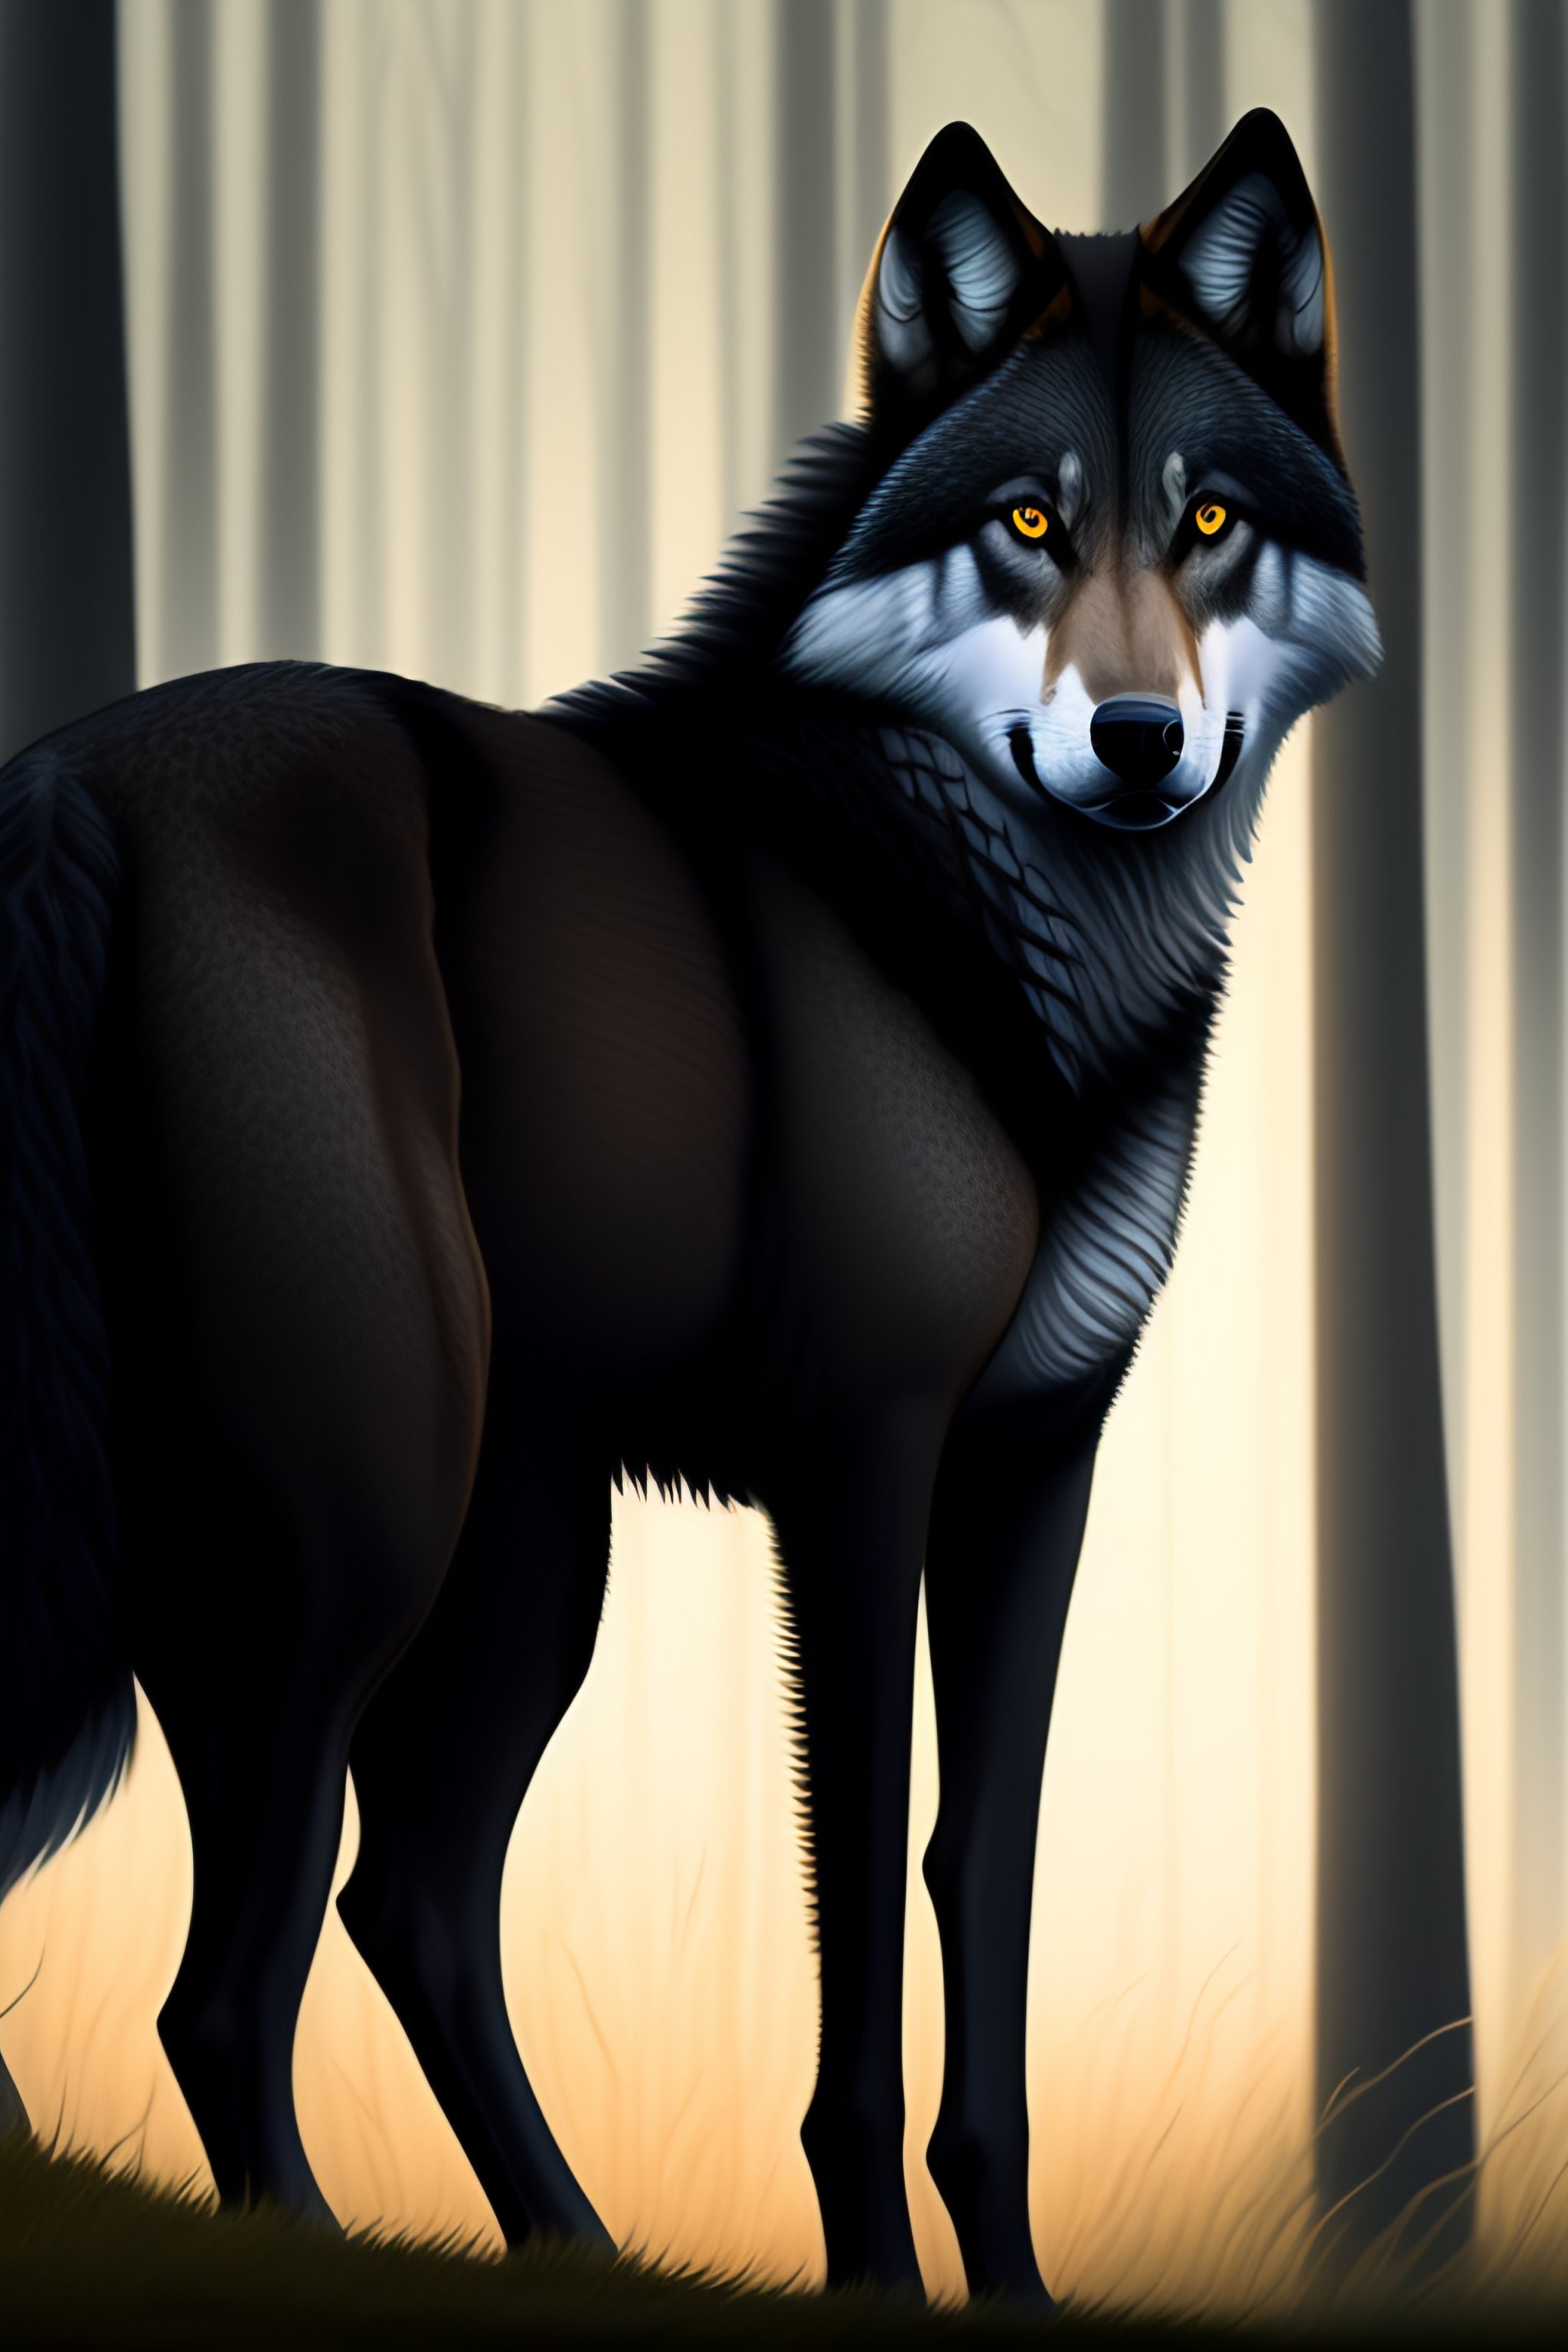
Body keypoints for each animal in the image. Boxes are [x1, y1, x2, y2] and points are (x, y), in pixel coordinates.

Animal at [0, 110, 1376, 2301]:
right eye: (1025, 520)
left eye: (1214, 518)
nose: (1136, 738)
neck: (986, 939)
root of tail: (67, 778)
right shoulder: (858, 1462)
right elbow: (864, 1890)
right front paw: (877, 2283)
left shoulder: (1032, 1467)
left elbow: (981, 1875)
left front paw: (1006, 2286)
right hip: (357, 1526)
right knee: (234, 1977)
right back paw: (340, 2246)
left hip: (498, 1557)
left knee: (401, 1901)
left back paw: (573, 2246)